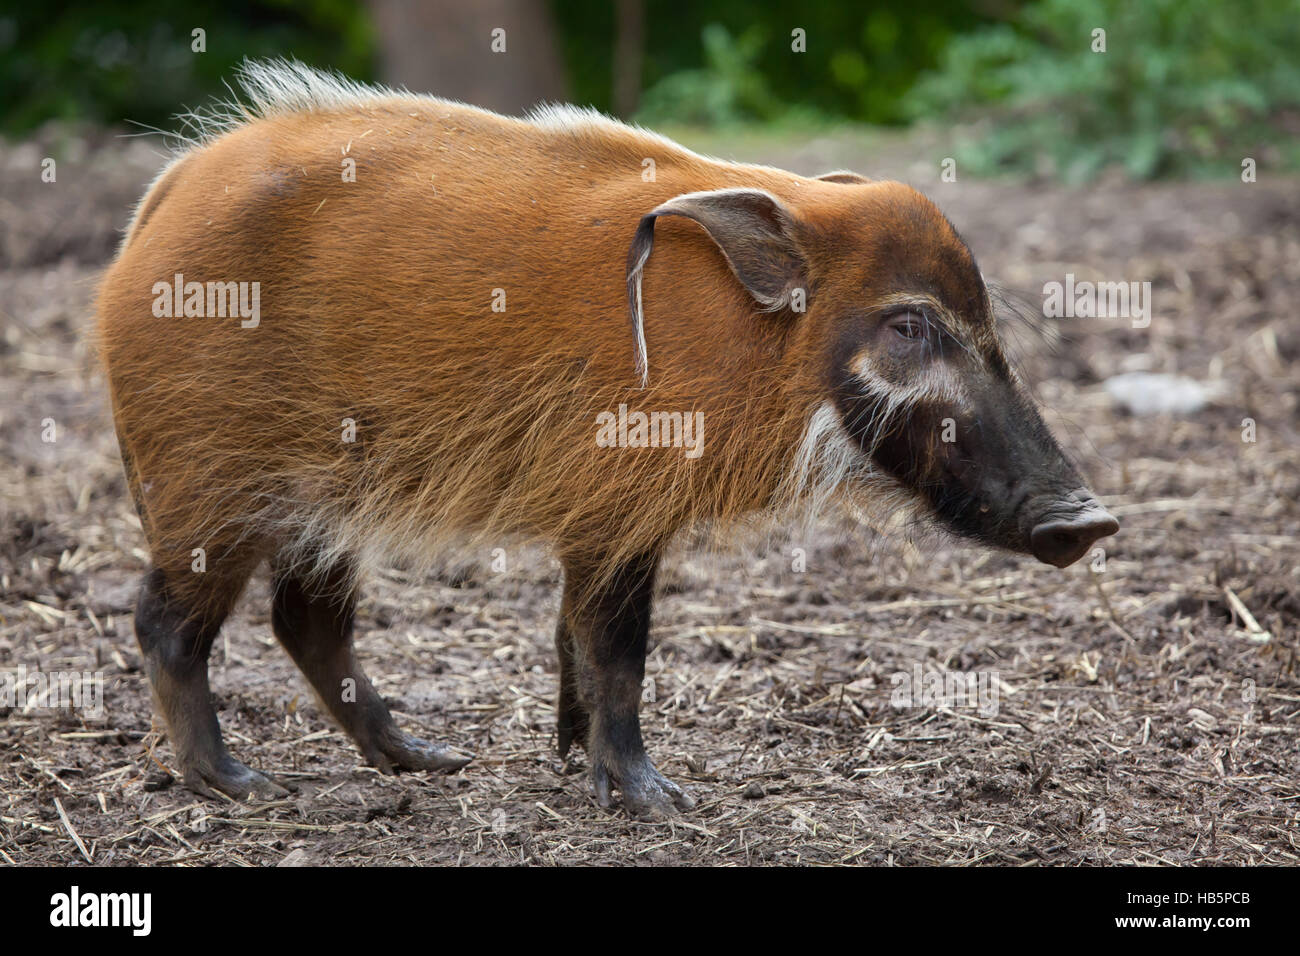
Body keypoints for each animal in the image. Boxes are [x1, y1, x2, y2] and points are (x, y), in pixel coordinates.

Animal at [95, 60, 1118, 816]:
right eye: (909, 327)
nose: (1089, 522)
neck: (761, 336)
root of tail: (155, 205)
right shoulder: (617, 498)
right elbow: (618, 649)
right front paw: (658, 800)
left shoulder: (600, 515)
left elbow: (570, 638)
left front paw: (568, 762)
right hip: (208, 482)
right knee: (167, 620)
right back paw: (239, 784)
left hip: (323, 497)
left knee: (306, 621)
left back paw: (428, 760)